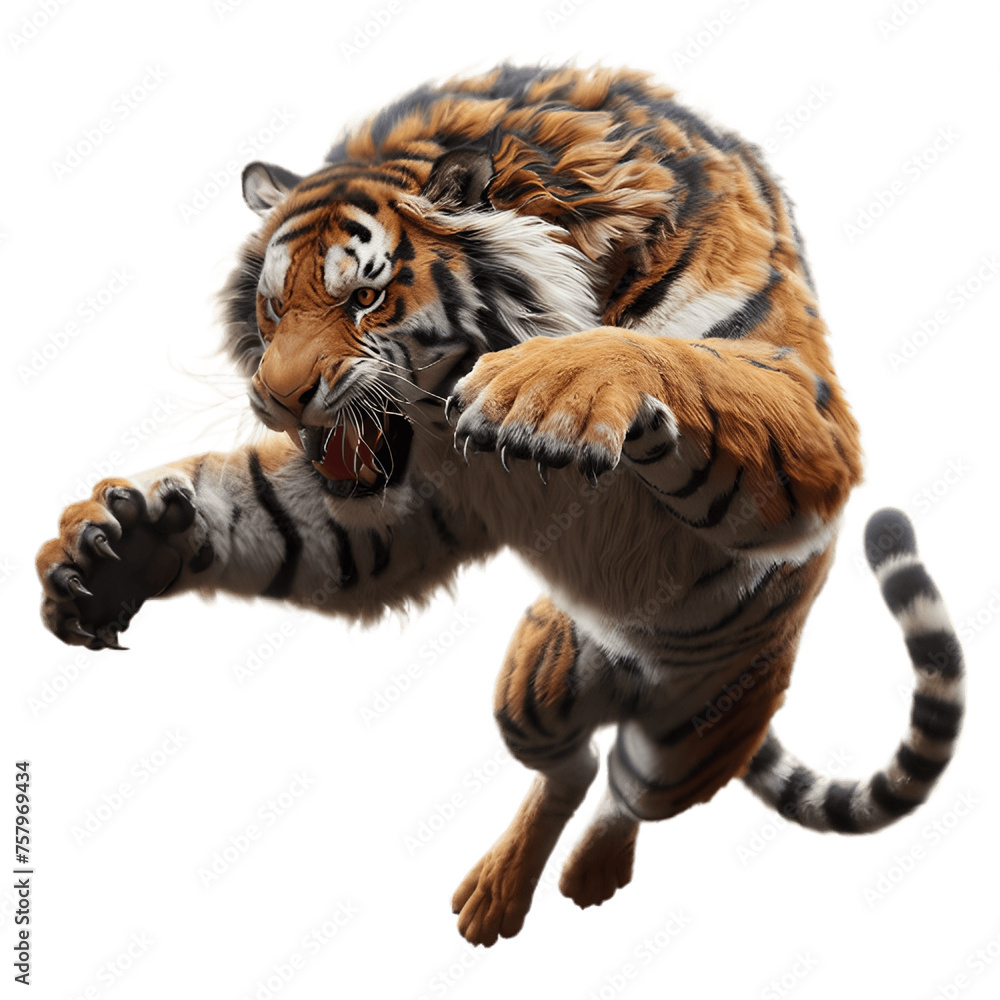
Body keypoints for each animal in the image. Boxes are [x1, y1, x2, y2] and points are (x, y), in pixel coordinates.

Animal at [36, 64, 965, 947]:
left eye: (364, 298)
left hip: (693, 738)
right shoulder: (400, 505)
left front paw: (549, 384)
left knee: (626, 790)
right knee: (571, 768)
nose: (277, 398)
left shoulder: (810, 418)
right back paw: (496, 898)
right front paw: (118, 548)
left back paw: (590, 874)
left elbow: (676, 361)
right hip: (536, 686)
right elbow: (268, 513)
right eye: (272, 306)